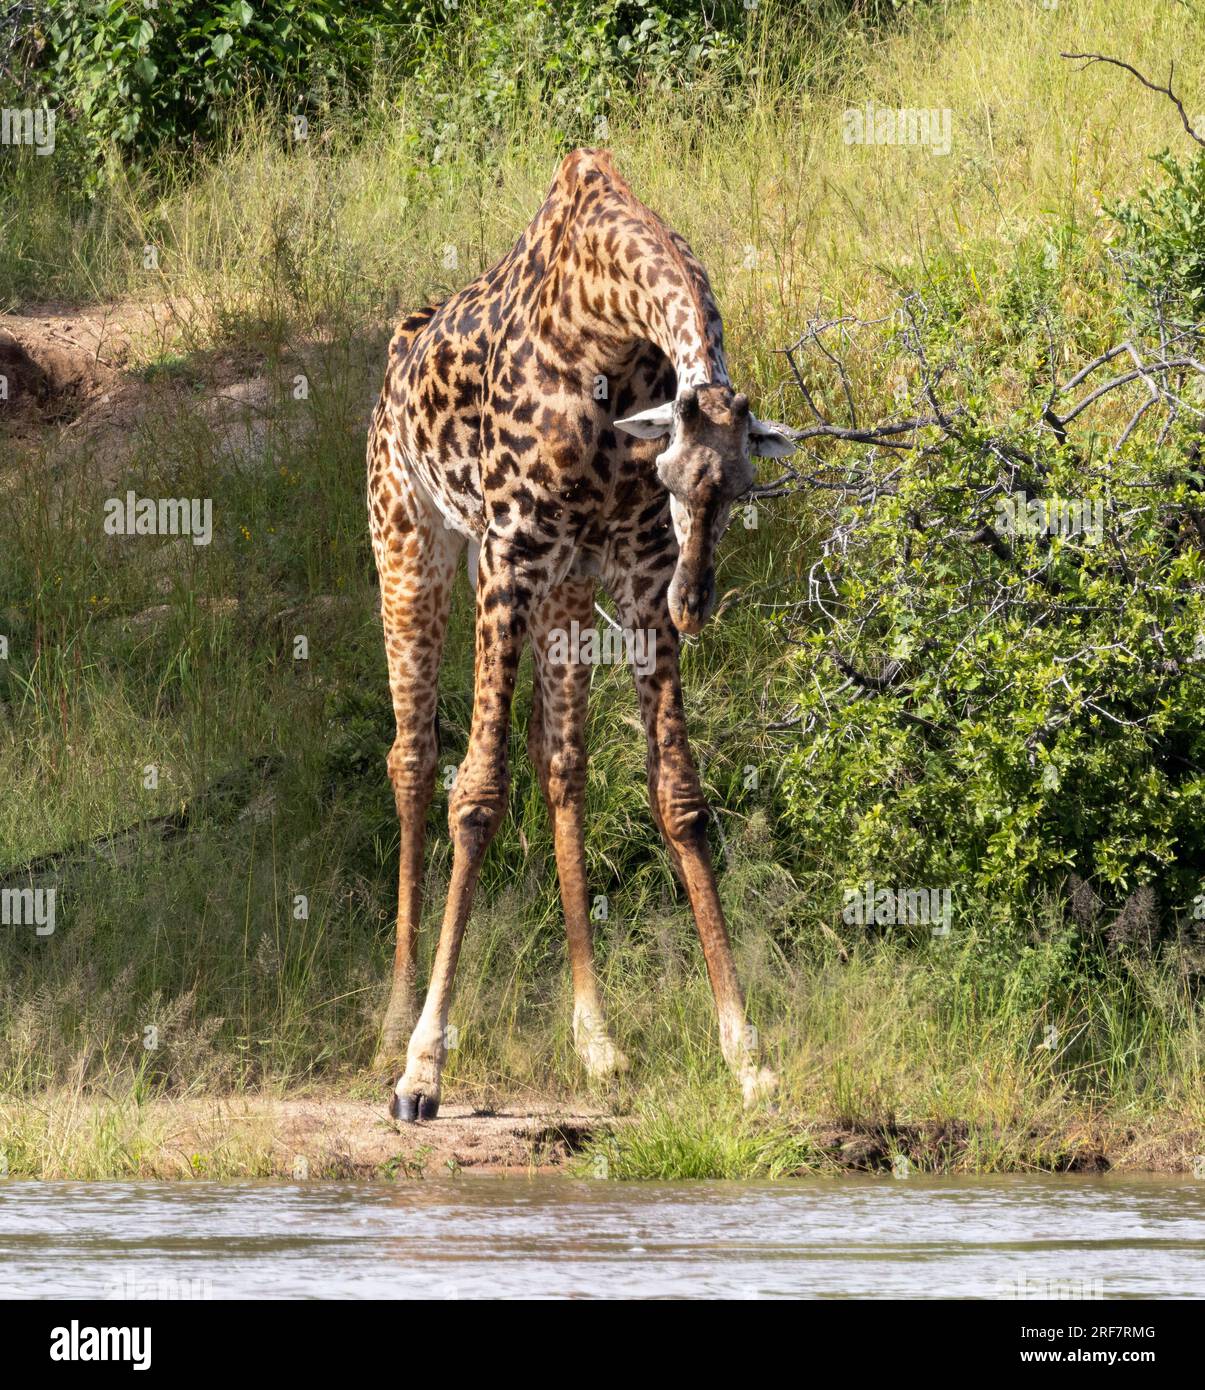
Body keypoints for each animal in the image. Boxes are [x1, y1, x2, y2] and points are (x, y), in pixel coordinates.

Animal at [366, 148, 796, 1121]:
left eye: (744, 489)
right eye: (669, 473)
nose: (695, 600)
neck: (609, 332)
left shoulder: (632, 569)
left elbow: (678, 797)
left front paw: (747, 1057)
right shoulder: (508, 551)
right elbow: (476, 796)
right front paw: (423, 1069)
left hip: (566, 592)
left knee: (561, 766)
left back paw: (596, 1041)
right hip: (411, 545)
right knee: (413, 756)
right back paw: (391, 1024)